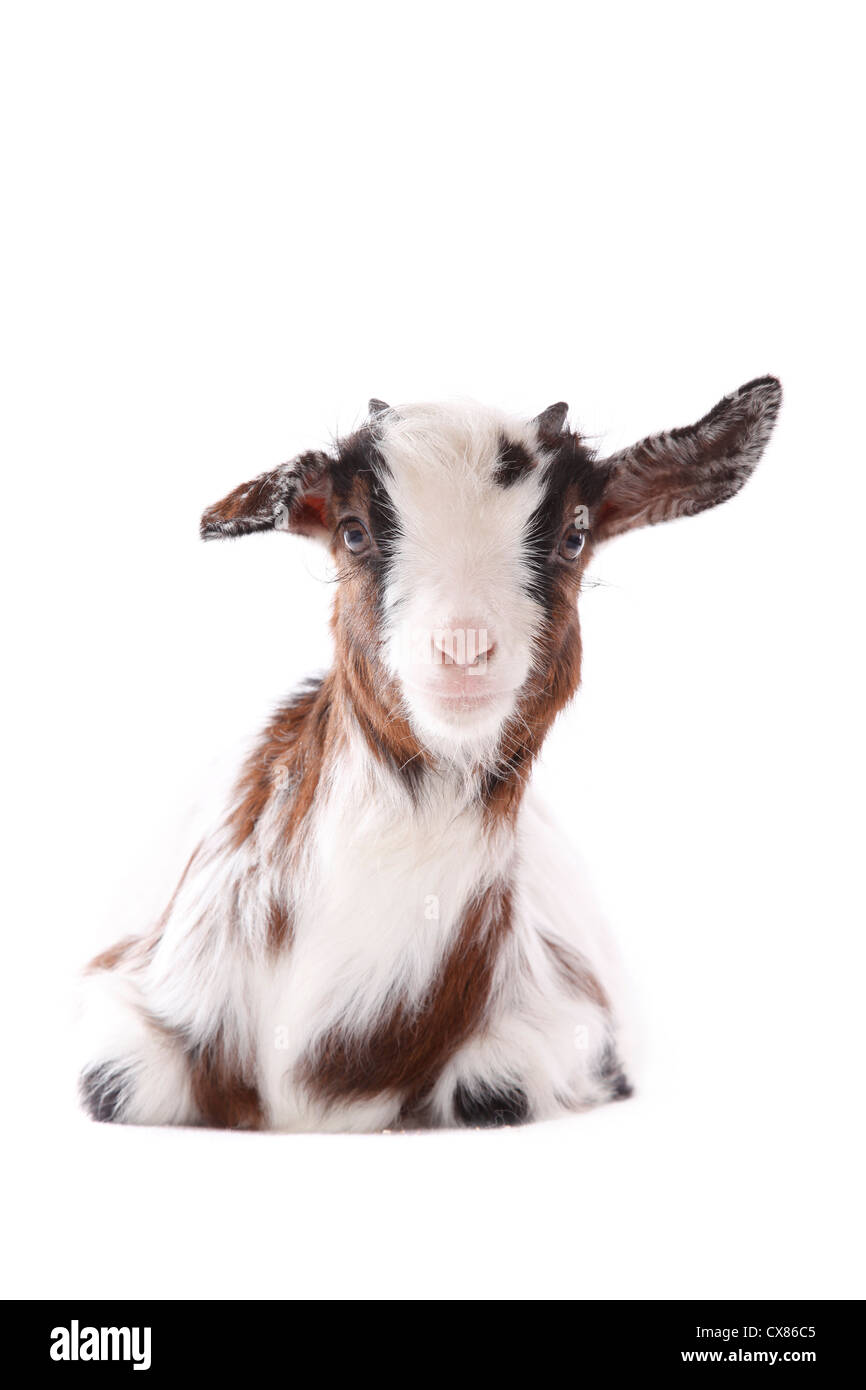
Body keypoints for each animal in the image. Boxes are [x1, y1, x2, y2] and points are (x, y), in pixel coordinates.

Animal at [78, 378, 781, 1131]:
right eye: (353, 532)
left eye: (574, 536)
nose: (463, 647)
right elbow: (115, 1083)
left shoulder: (567, 1031)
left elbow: (492, 1091)